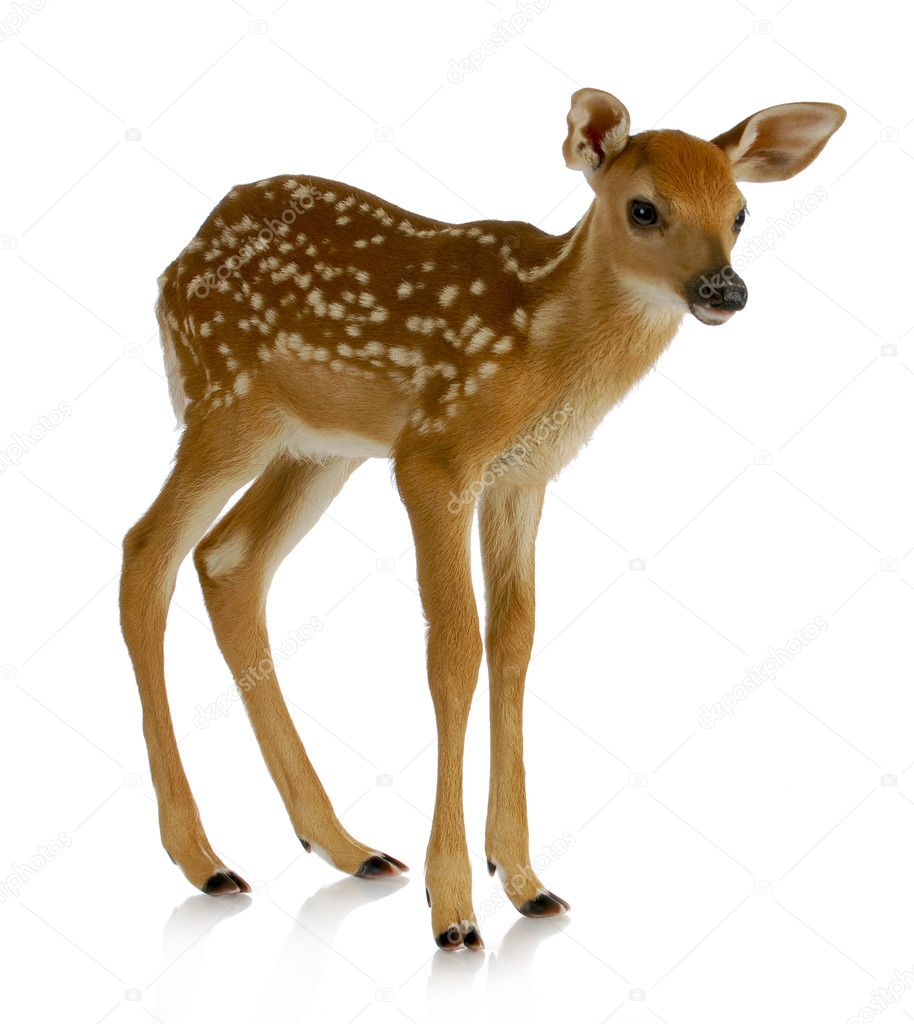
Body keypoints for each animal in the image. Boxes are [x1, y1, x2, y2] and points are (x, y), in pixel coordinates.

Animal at [120, 87, 845, 950]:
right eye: (643, 208)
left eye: (739, 212)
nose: (723, 290)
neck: (544, 340)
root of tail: (176, 264)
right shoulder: (434, 458)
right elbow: (454, 649)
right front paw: (455, 909)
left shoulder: (522, 478)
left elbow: (515, 640)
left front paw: (525, 882)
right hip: (226, 404)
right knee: (147, 552)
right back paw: (204, 859)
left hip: (317, 446)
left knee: (228, 561)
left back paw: (345, 846)